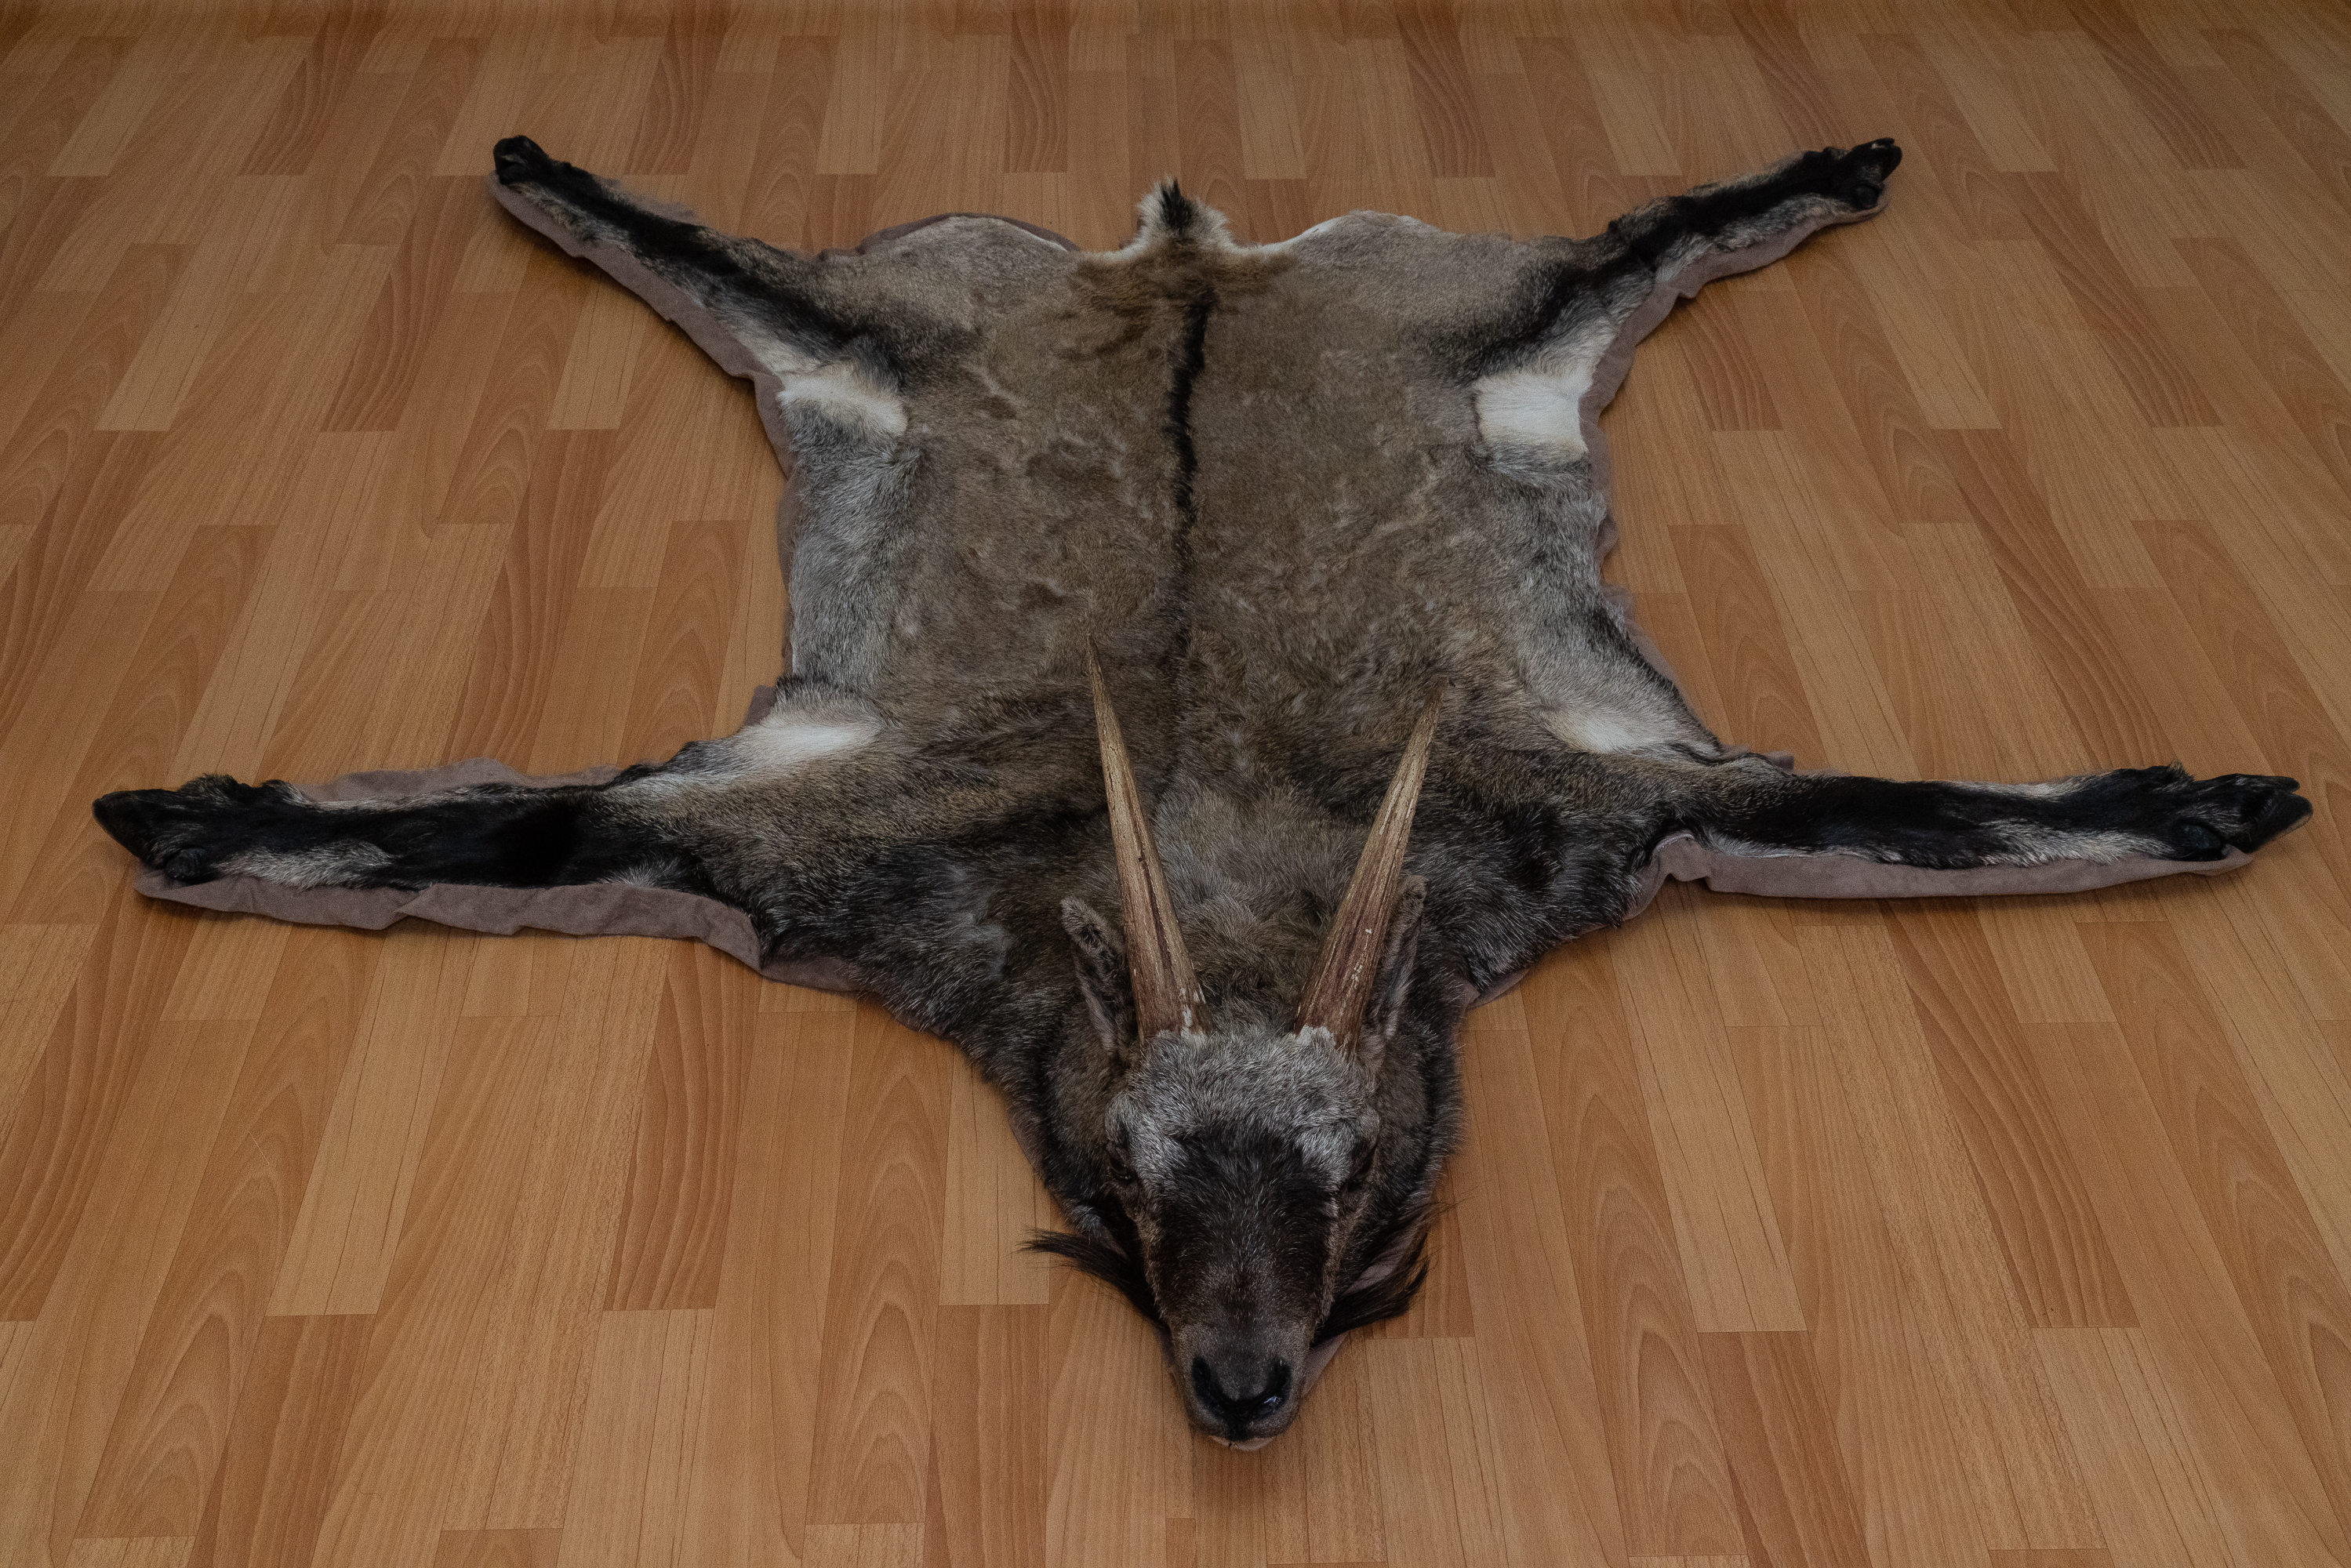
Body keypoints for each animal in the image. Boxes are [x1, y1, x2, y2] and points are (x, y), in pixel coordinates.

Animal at [93, 135, 2310, 1446]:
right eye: (1134, 1176)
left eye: (1350, 1171)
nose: (1242, 1388)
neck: (1231, 879)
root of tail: (1190, 264)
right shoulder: (803, 848)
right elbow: (518, 826)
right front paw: (180, 817)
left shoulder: (1609, 807)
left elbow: (1909, 808)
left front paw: (2219, 799)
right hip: (910, 315)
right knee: (740, 267)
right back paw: (543, 164)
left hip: (1446, 304)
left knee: (1617, 247)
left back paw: (1829, 162)